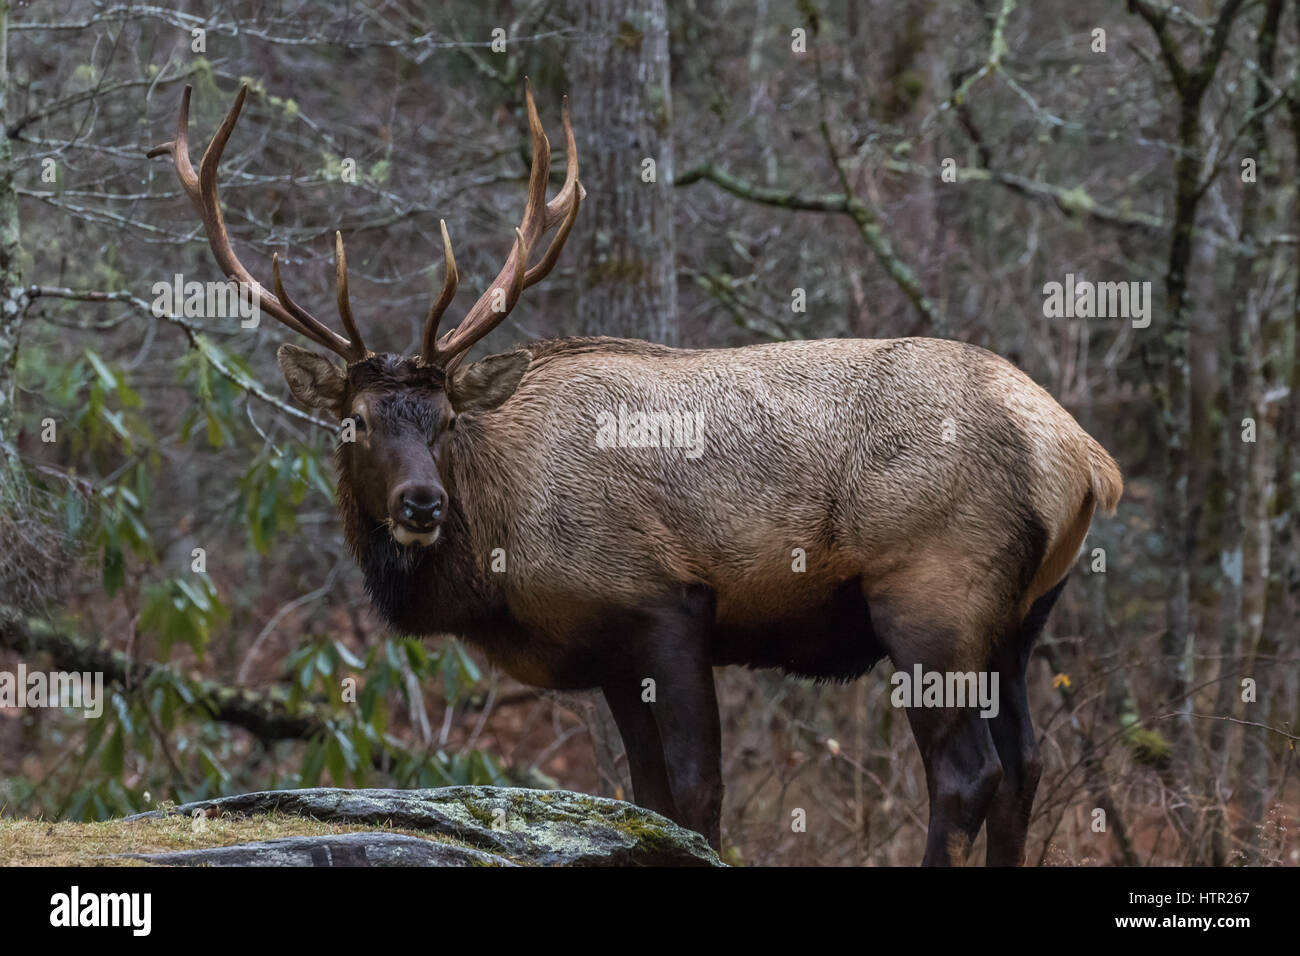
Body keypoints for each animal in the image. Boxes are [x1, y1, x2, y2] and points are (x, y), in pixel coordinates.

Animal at [149, 81, 1122, 866]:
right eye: (354, 422)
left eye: (447, 421)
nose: (422, 503)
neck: (503, 551)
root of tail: (1083, 456)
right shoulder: (609, 651)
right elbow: (646, 798)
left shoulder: (668, 606)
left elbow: (695, 794)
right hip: (1021, 619)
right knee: (1027, 765)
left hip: (931, 599)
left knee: (966, 775)